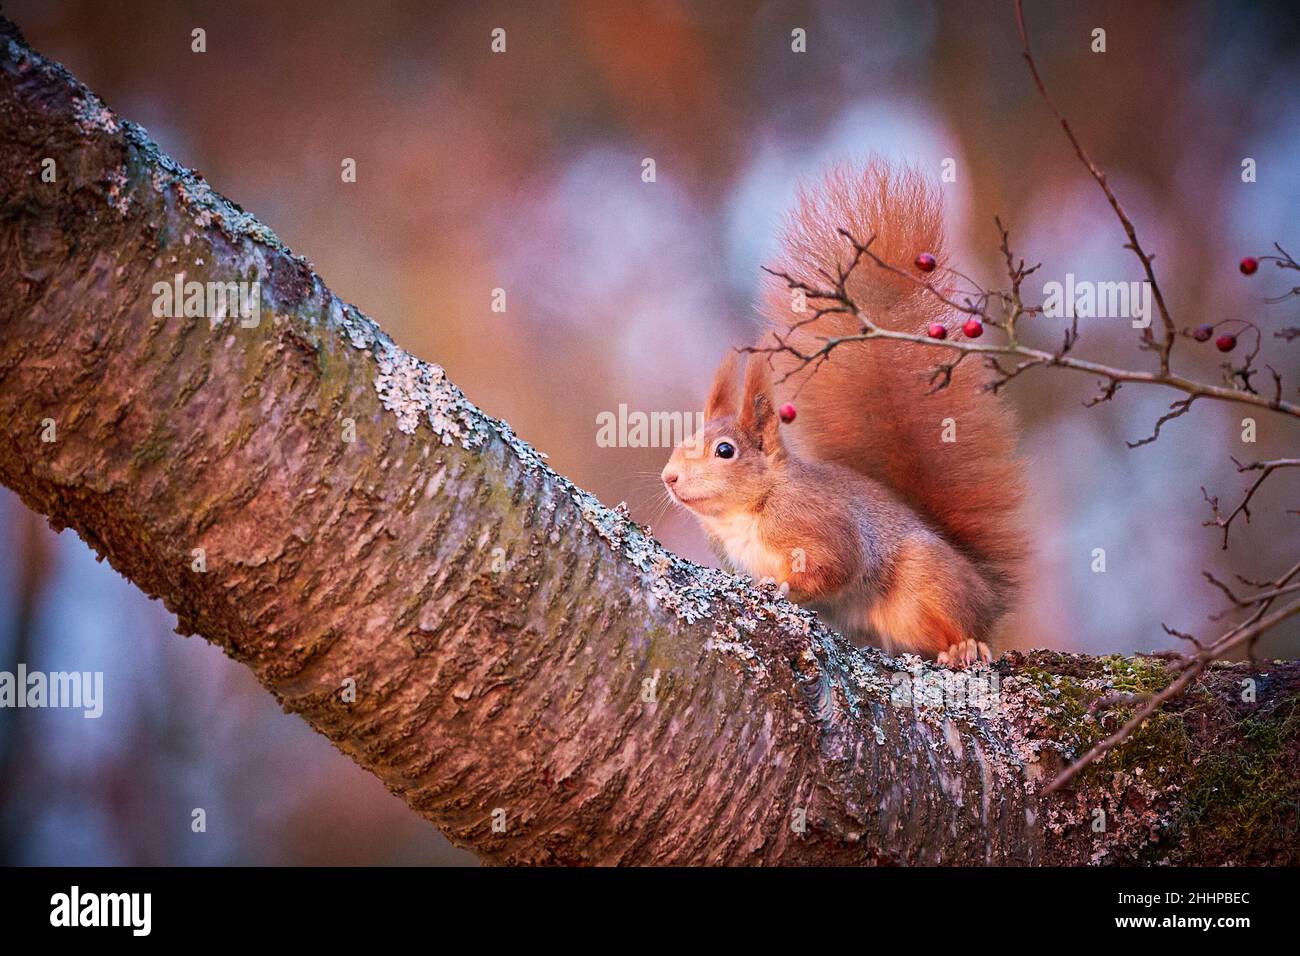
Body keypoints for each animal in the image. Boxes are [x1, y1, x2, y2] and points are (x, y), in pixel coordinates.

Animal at [661, 160, 1026, 666]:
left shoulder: (818, 523)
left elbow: (838, 566)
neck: (747, 511)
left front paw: (781, 584)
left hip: (928, 578)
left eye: (725, 451)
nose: (669, 478)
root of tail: (988, 592)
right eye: (681, 442)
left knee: (961, 623)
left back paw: (966, 645)